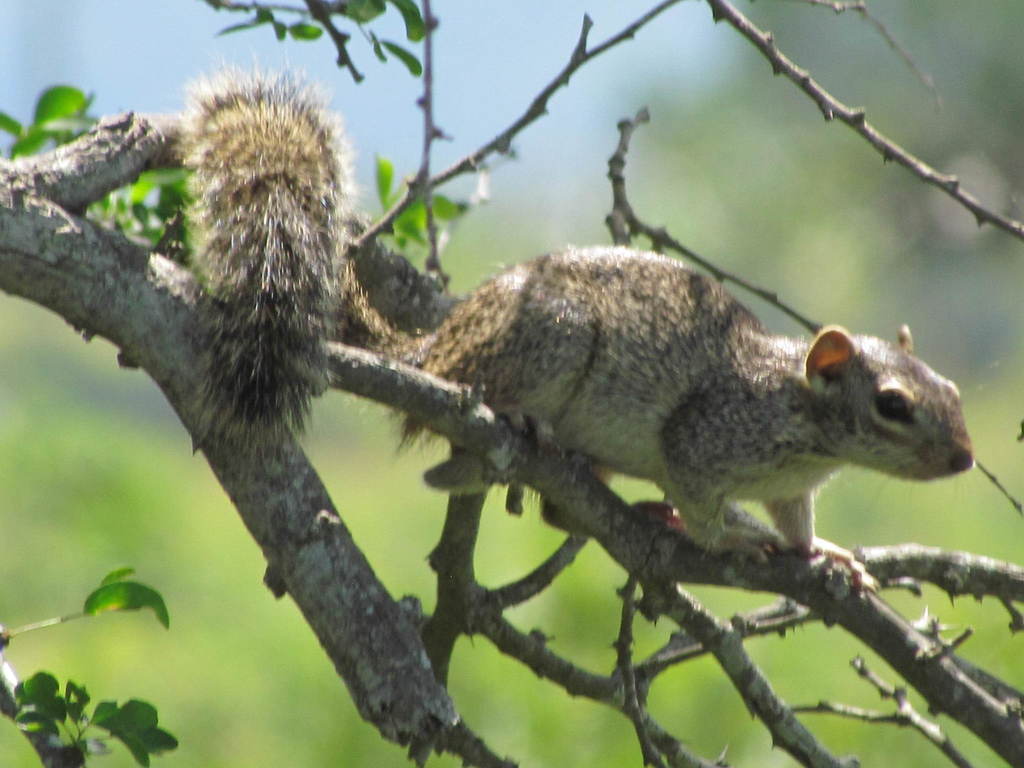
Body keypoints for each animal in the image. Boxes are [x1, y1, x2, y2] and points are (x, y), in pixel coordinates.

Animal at [180, 70, 974, 576]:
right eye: (893, 406)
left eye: (953, 390)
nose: (965, 460)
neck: (801, 413)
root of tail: (436, 352)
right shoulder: (705, 440)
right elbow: (701, 497)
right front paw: (729, 543)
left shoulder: (790, 490)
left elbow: (796, 524)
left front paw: (824, 554)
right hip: (551, 340)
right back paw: (521, 427)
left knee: (554, 514)